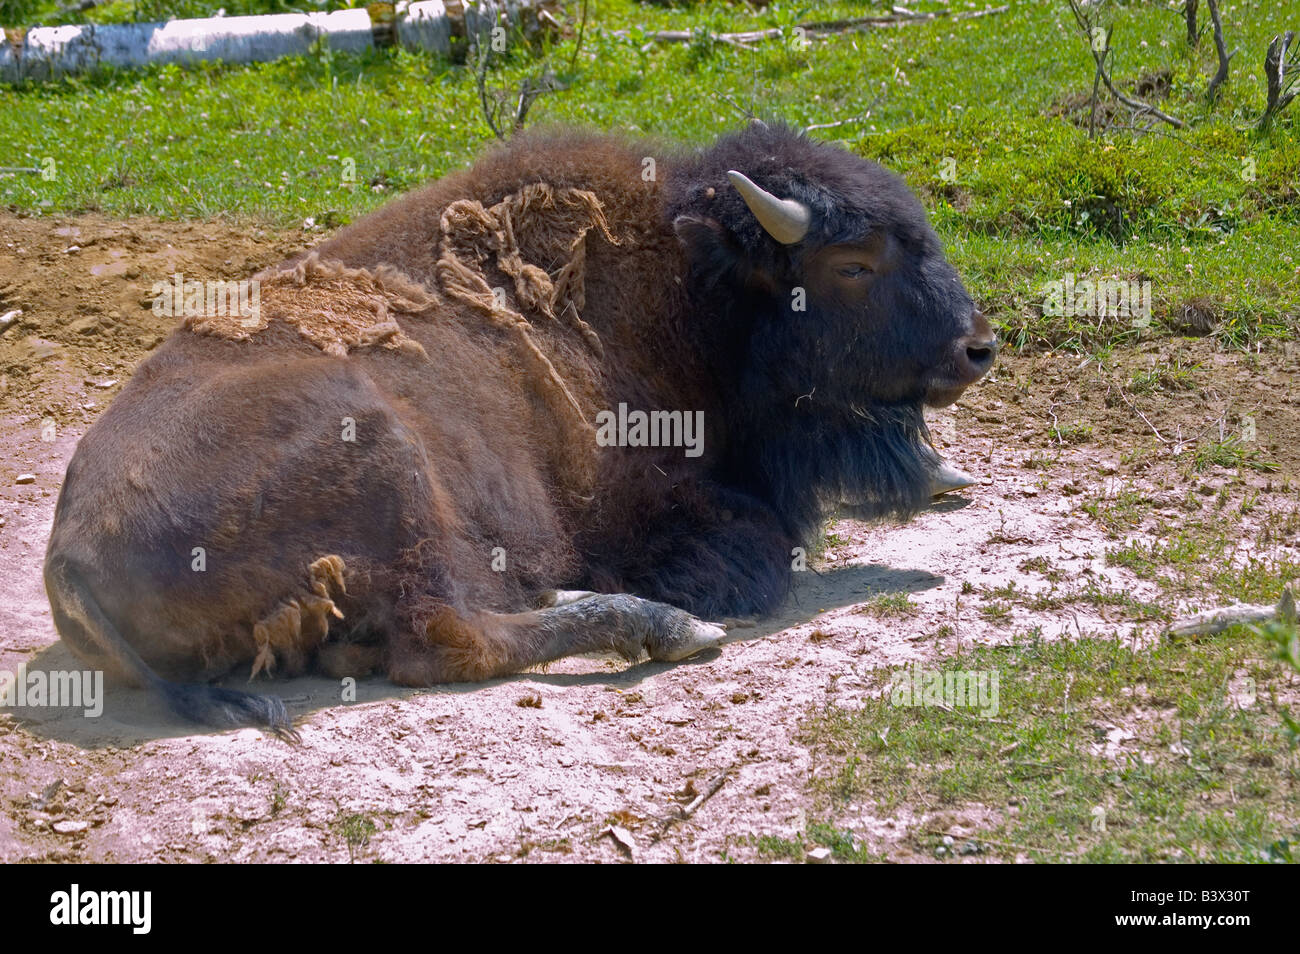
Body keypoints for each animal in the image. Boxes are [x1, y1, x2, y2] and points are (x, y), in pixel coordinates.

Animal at [44, 123, 995, 735]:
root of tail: (68, 551)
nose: (977, 348)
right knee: (452, 639)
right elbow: (764, 545)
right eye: (854, 264)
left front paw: (950, 477)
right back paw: (661, 627)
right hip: (386, 458)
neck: (688, 290)